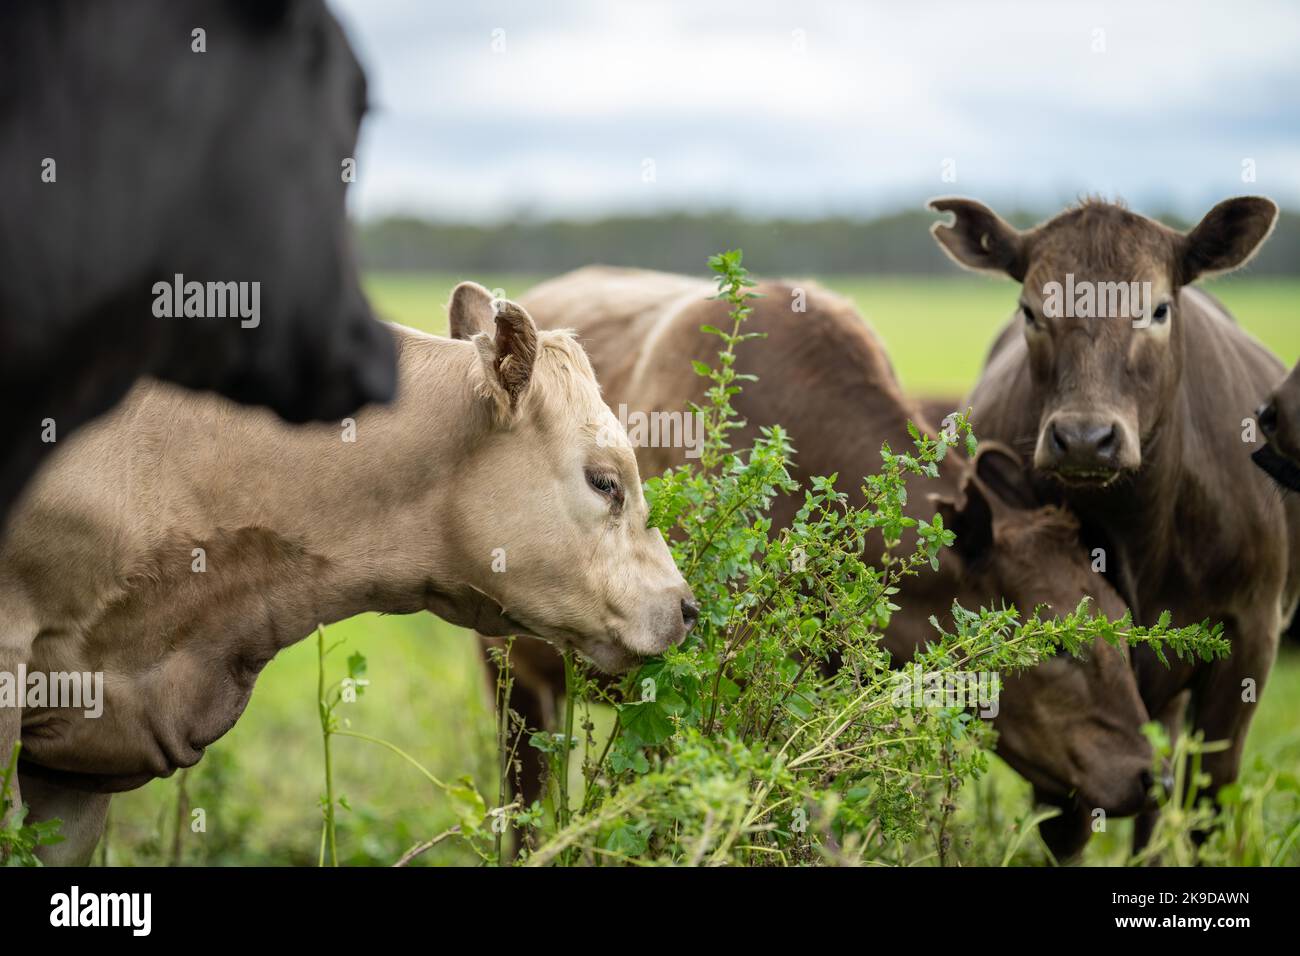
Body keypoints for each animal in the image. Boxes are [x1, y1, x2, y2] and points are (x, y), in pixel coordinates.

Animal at [935, 195, 1296, 847]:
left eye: (1158, 309)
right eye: (1030, 310)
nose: (1084, 438)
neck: (1138, 535)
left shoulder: (1251, 641)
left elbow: (1206, 801)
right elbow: (1070, 816)